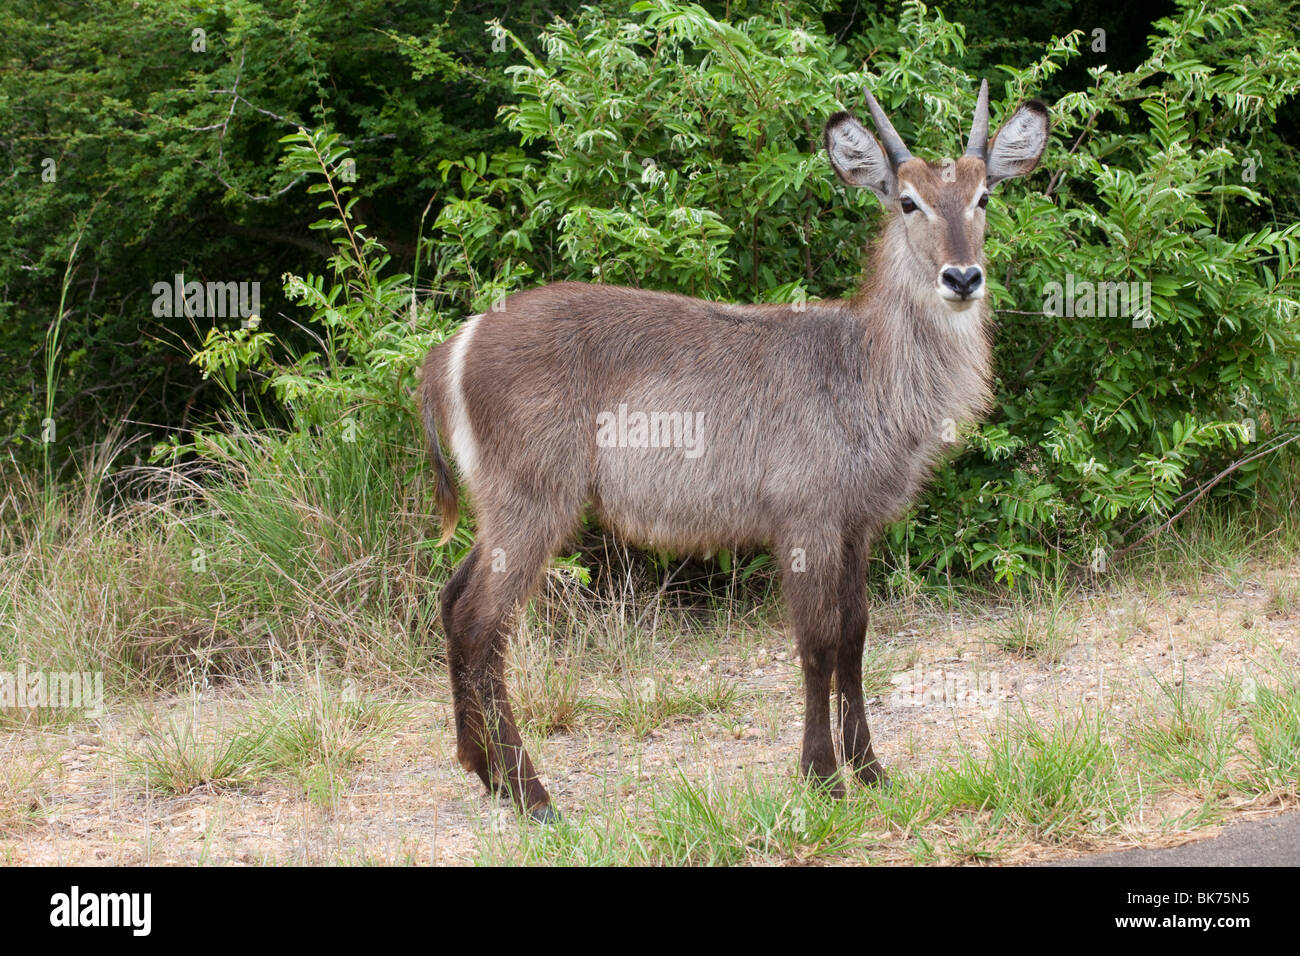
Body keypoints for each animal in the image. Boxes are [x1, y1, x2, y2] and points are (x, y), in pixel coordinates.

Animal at [419, 82, 1050, 820]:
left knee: (451, 599)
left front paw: (870, 769)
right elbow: (818, 642)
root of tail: (452, 346)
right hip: (534, 500)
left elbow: (857, 637)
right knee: (480, 621)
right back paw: (529, 793)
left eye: (984, 197)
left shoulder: (856, 524)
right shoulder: (805, 518)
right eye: (907, 201)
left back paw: (484, 771)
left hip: (501, 507)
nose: (962, 277)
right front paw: (822, 775)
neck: (866, 366)